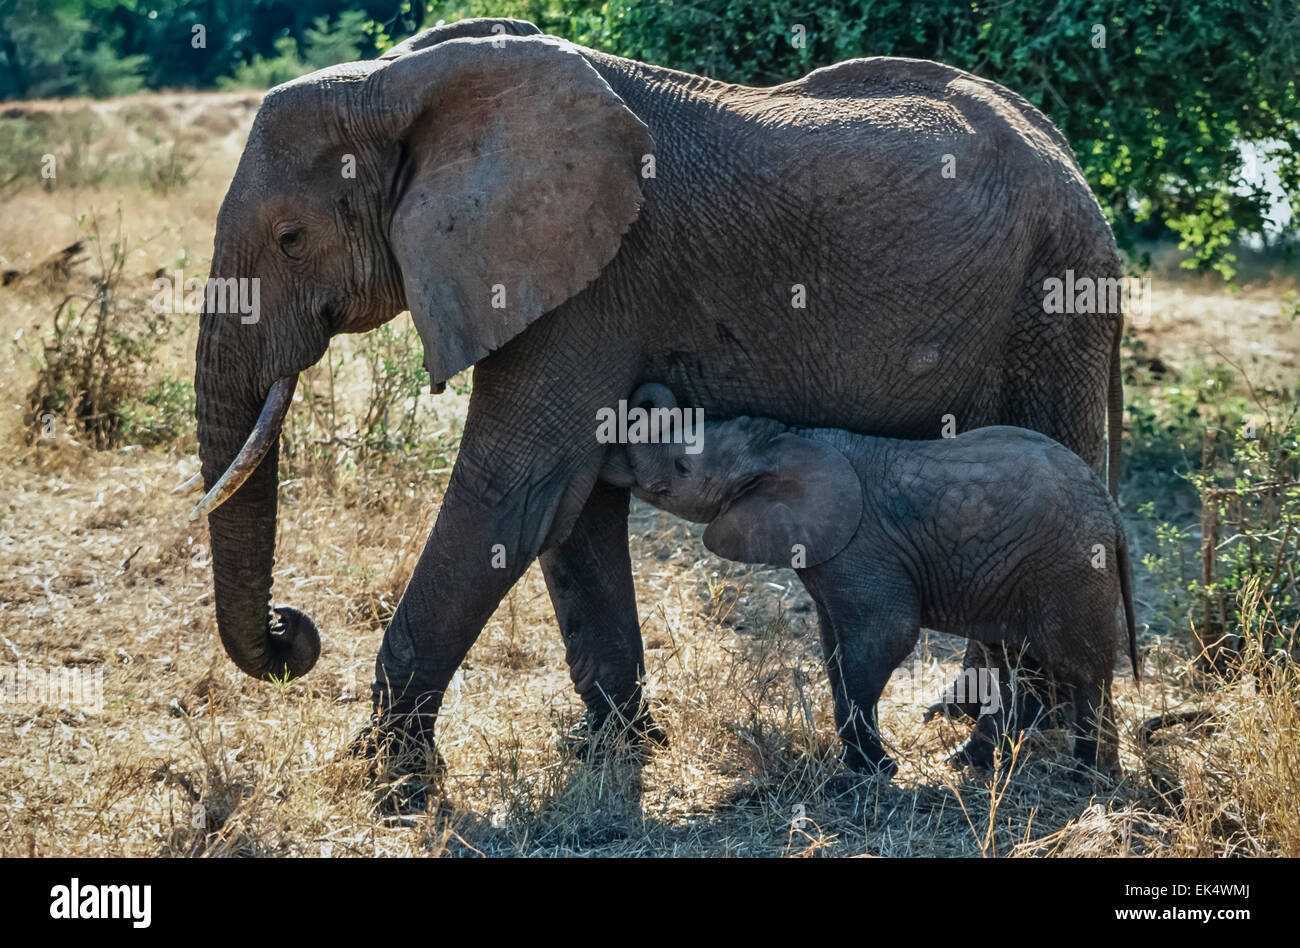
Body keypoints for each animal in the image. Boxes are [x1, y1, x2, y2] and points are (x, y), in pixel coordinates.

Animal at [601, 383, 1139, 774]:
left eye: (681, 465)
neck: (784, 440)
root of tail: (1111, 509)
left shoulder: (862, 548)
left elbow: (885, 637)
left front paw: (872, 771)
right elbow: (836, 648)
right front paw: (868, 766)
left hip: (1070, 568)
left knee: (1081, 668)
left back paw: (1087, 776)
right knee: (1013, 665)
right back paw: (968, 765)